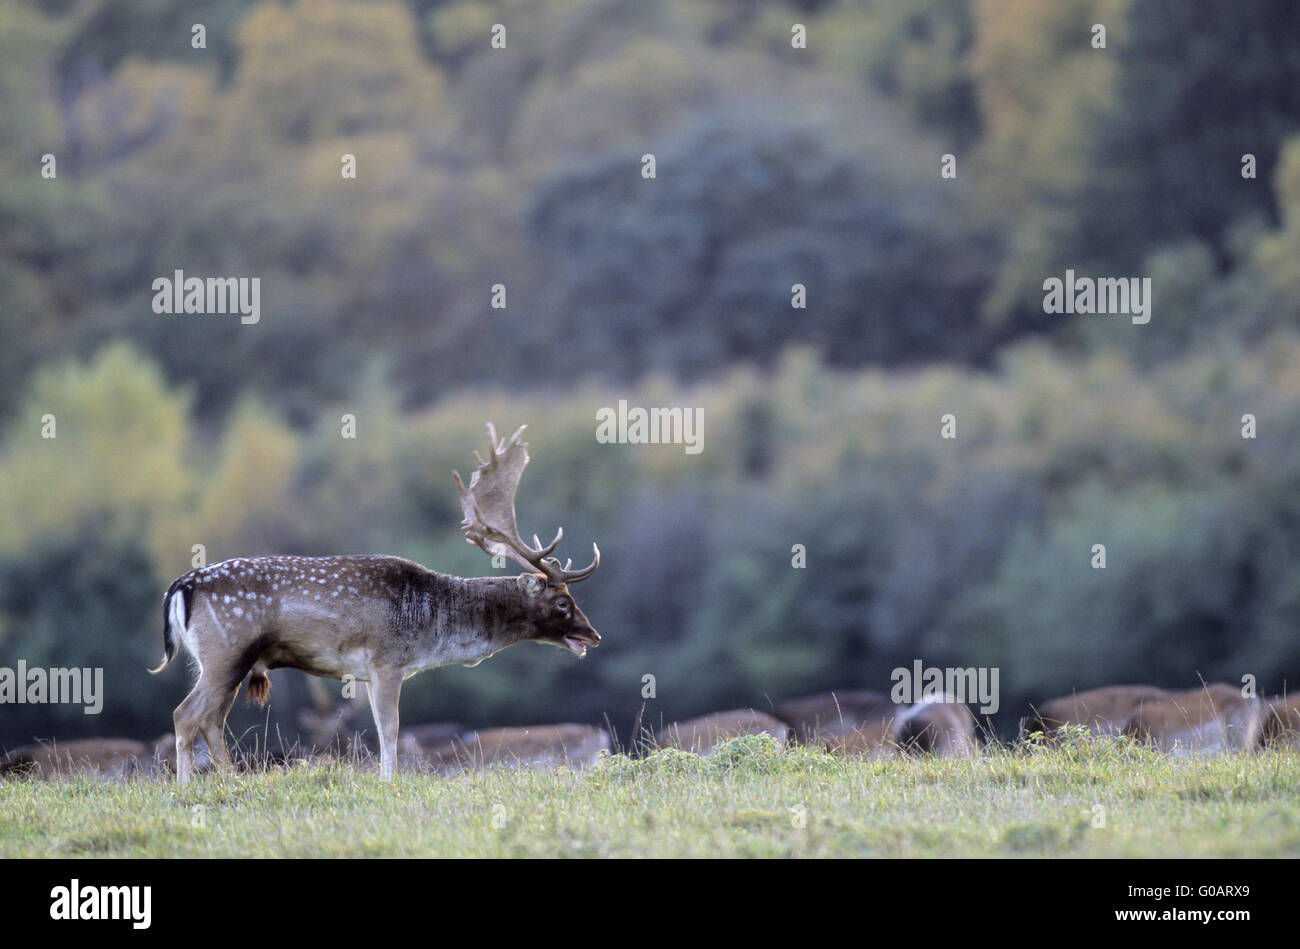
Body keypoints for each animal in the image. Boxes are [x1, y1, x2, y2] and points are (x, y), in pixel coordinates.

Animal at [149, 423, 602, 782]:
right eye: (563, 602)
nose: (594, 636)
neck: (433, 625)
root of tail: (179, 588)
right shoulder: (387, 661)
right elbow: (391, 728)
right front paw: (389, 781)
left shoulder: (366, 673)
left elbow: (383, 729)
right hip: (227, 649)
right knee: (186, 715)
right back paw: (187, 787)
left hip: (221, 660)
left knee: (210, 719)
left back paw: (230, 779)